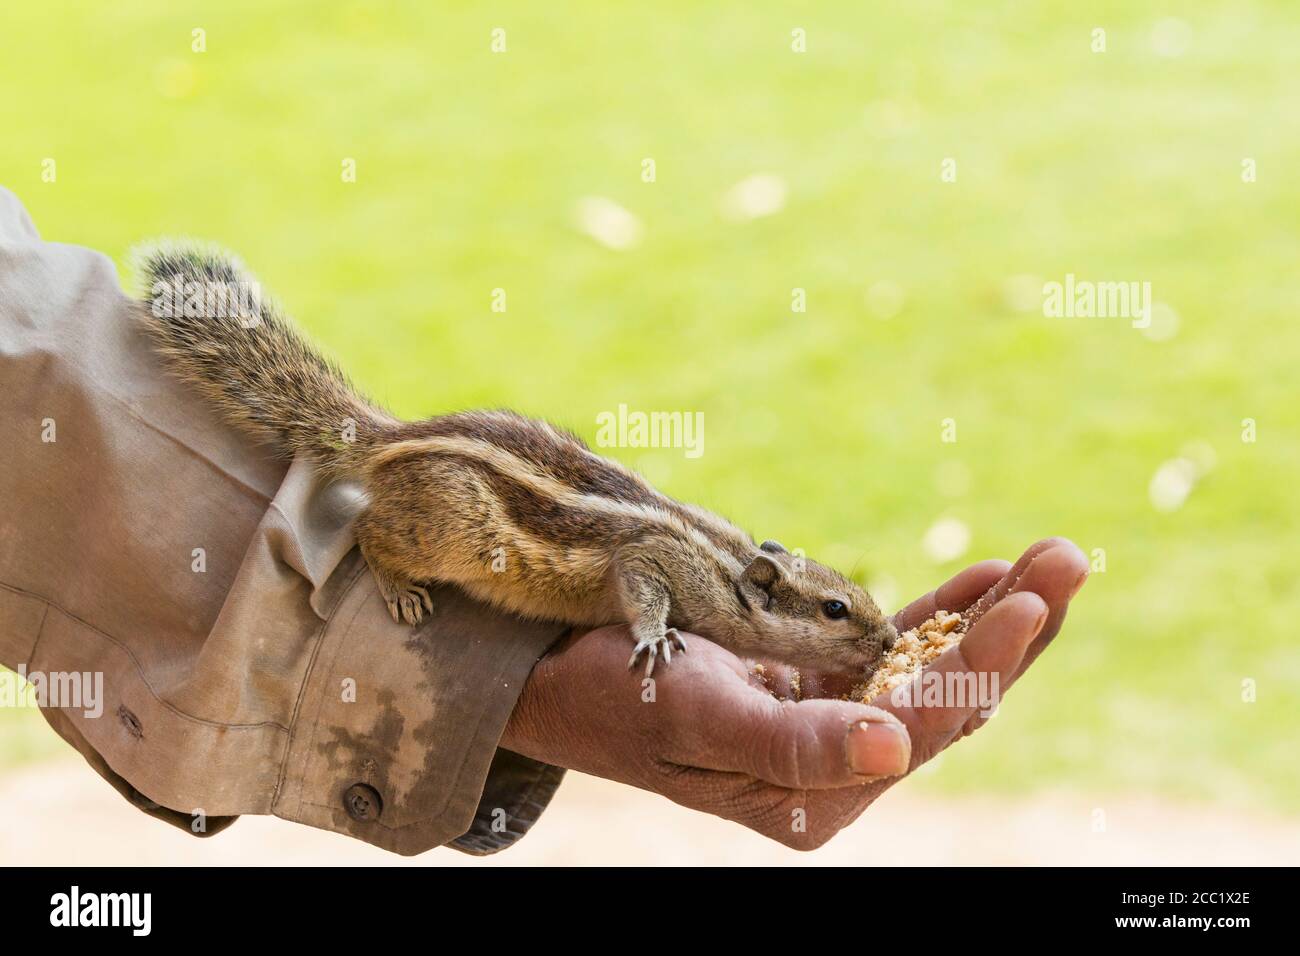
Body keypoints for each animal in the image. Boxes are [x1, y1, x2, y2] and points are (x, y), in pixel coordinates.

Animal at [133, 241, 898, 676]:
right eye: (835, 609)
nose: (891, 639)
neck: (727, 565)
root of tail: (390, 437)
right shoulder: (655, 561)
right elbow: (641, 583)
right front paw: (654, 638)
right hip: (445, 526)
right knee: (370, 531)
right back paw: (398, 586)